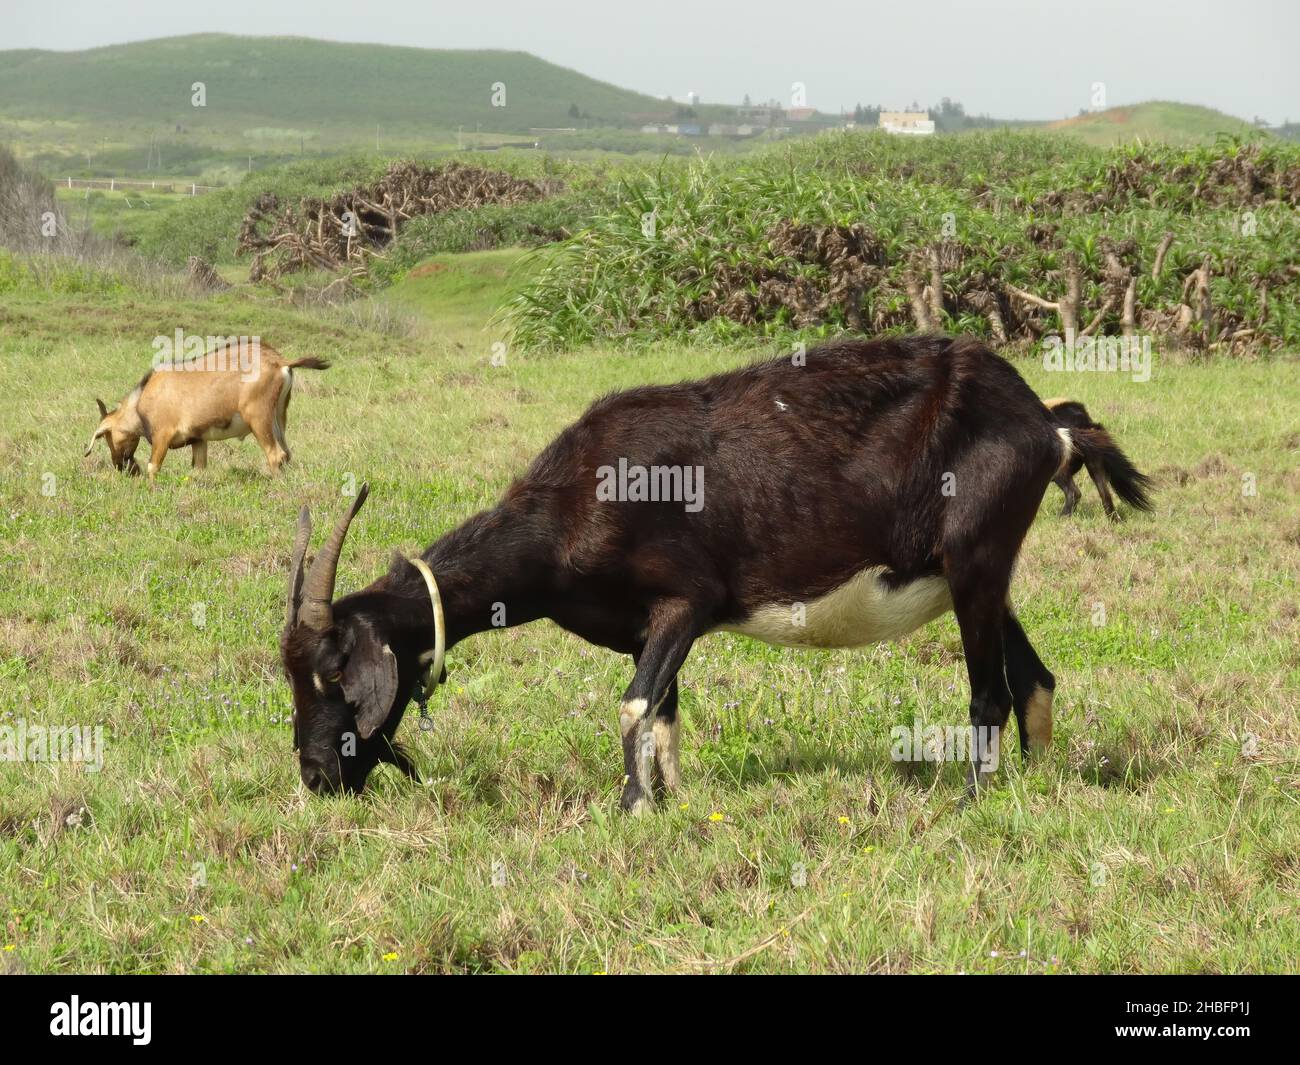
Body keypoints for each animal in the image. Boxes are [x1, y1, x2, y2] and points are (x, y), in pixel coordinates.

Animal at [84, 341, 328, 480]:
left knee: (276, 455)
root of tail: (280, 362)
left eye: (108, 436)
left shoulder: (163, 434)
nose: (122, 467)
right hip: (278, 418)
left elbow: (154, 467)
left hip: (259, 419)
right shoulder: (199, 440)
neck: (142, 399)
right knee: (287, 454)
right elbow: (198, 469)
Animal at [280, 335, 1153, 809]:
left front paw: (631, 807)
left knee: (990, 690)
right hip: (975, 573)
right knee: (1034, 676)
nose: (316, 774)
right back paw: (1033, 786)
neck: (576, 500)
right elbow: (663, 711)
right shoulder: (644, 626)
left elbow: (635, 706)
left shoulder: (685, 601)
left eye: (336, 671)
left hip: (975, 559)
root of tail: (1045, 423)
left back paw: (972, 799)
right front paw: (673, 800)